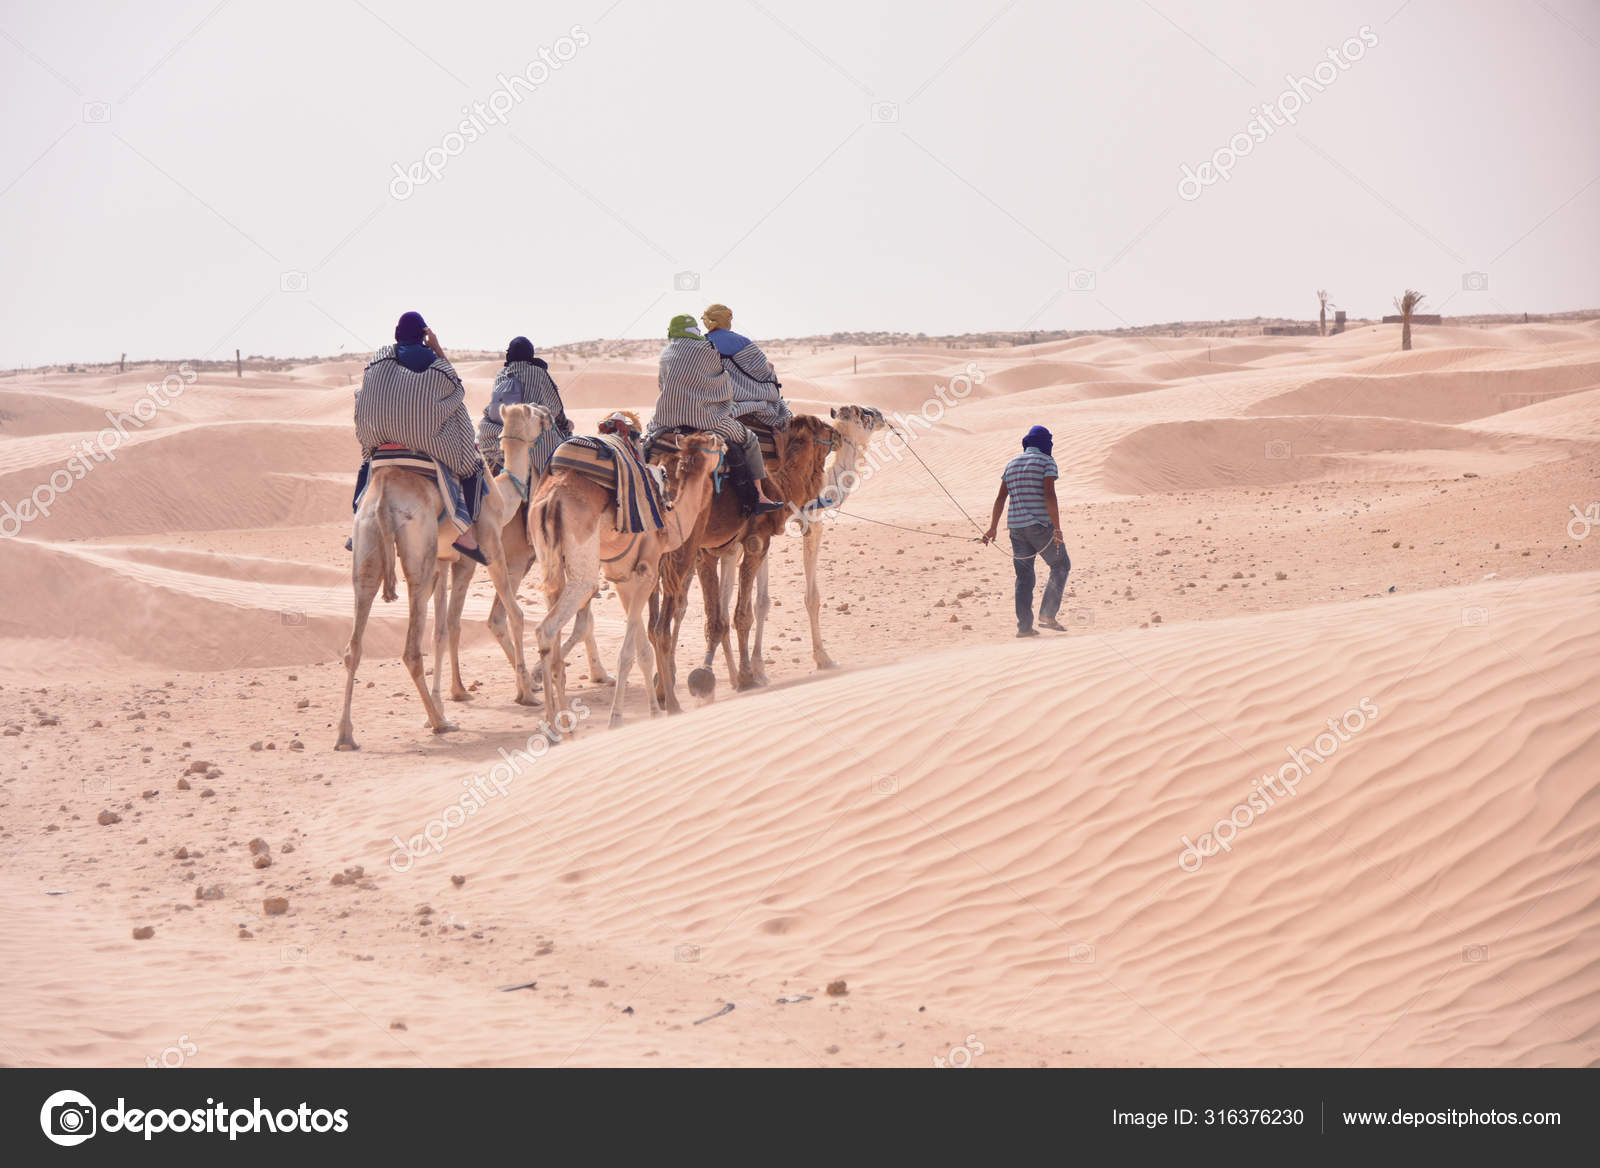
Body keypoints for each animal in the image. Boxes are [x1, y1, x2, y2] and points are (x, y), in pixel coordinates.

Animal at [335, 413, 536, 750]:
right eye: (535, 413)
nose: (550, 418)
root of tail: (384, 496)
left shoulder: (443, 561)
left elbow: (441, 632)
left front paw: (453, 694)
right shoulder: (479, 553)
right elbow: (494, 617)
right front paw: (525, 692)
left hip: (368, 547)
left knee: (354, 644)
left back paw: (346, 735)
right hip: (420, 553)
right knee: (411, 650)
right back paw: (440, 723)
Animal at [529, 431, 726, 730]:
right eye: (714, 440)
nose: (726, 443)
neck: (671, 524)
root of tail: (551, 499)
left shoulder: (623, 578)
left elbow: (643, 648)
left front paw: (655, 711)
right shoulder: (648, 572)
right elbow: (629, 652)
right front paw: (617, 719)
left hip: (548, 562)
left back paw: (561, 727)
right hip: (582, 569)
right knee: (547, 628)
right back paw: (556, 728)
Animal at [696, 405, 884, 688]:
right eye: (865, 416)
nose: (882, 415)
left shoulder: (754, 540)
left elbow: (758, 602)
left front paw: (756, 670)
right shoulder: (810, 523)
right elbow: (809, 597)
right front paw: (824, 659)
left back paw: (730, 676)